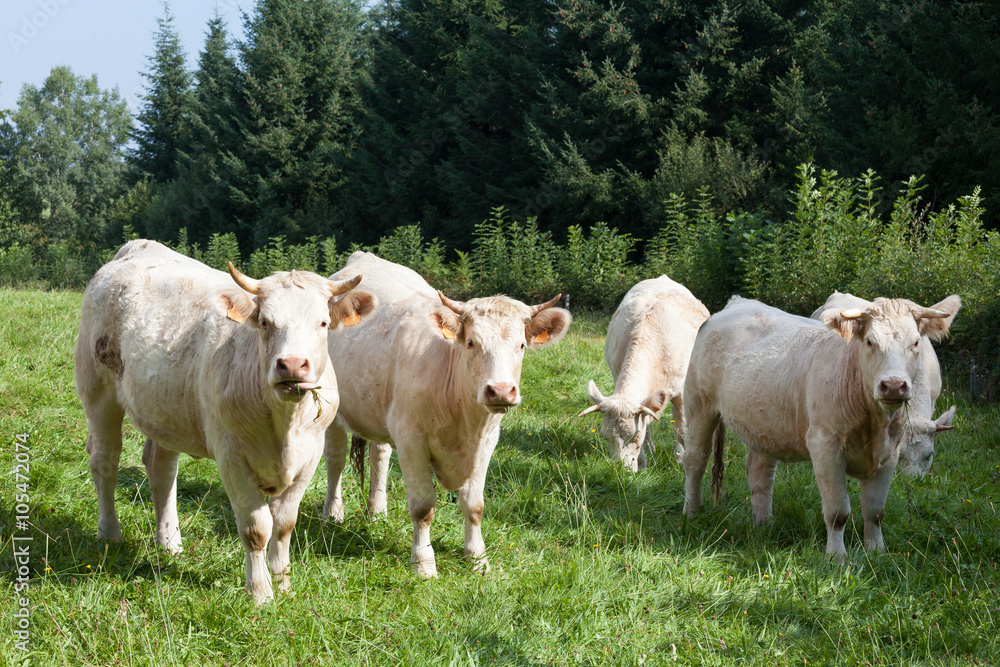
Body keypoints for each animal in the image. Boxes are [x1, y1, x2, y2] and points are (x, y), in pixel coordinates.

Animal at [75, 240, 376, 604]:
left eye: (322, 323)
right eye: (265, 322)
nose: (291, 365)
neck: (285, 423)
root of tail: (137, 247)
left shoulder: (310, 455)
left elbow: (284, 523)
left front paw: (283, 582)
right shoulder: (231, 457)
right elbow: (256, 528)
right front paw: (260, 593)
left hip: (165, 409)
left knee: (161, 468)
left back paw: (169, 542)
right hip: (97, 390)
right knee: (105, 460)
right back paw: (110, 533)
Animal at [321, 252, 571, 577]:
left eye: (521, 345)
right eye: (471, 342)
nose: (501, 391)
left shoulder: (487, 441)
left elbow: (474, 504)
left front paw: (477, 559)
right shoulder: (411, 440)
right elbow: (422, 507)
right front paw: (424, 564)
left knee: (379, 457)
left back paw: (377, 512)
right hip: (334, 407)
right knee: (335, 461)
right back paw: (332, 514)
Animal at [577, 275, 709, 471]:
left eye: (634, 437)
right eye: (605, 436)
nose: (619, 470)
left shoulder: (682, 392)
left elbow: (682, 430)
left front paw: (681, 461)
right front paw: (643, 462)